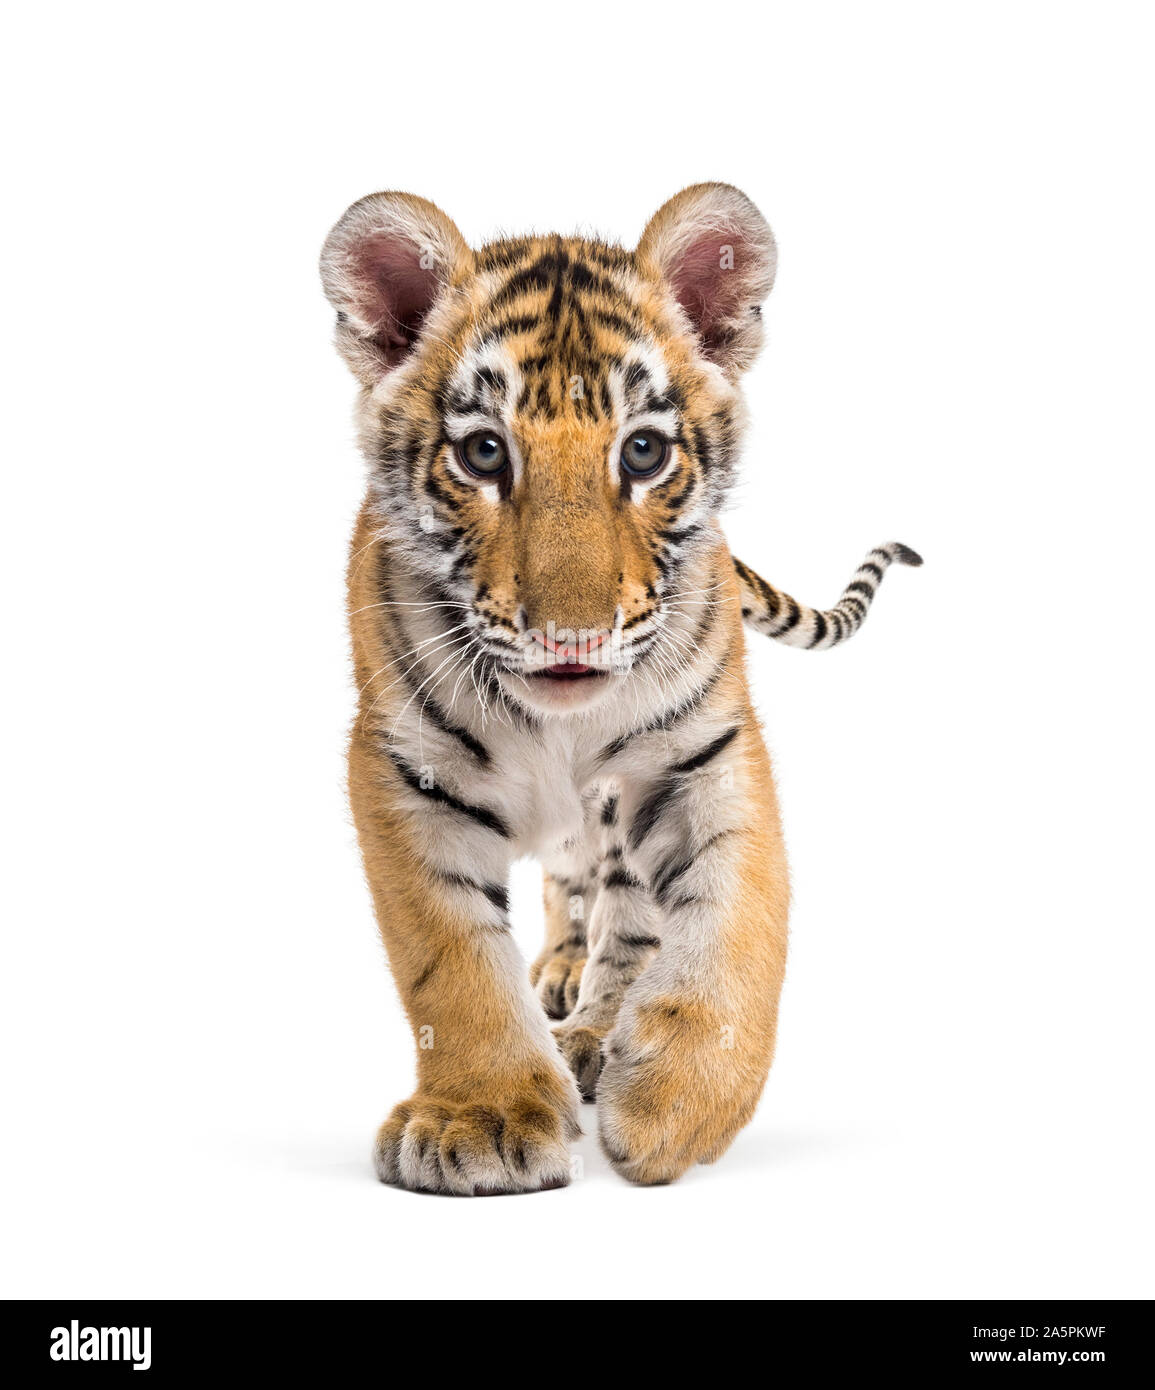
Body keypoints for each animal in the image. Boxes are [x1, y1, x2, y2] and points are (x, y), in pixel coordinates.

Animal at [319, 183, 920, 1194]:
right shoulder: (406, 772)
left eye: (641, 454)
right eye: (484, 455)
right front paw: (481, 1117)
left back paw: (599, 1027)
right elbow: (449, 955)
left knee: (630, 911)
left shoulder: (704, 754)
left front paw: (677, 1104)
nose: (574, 637)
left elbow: (736, 927)